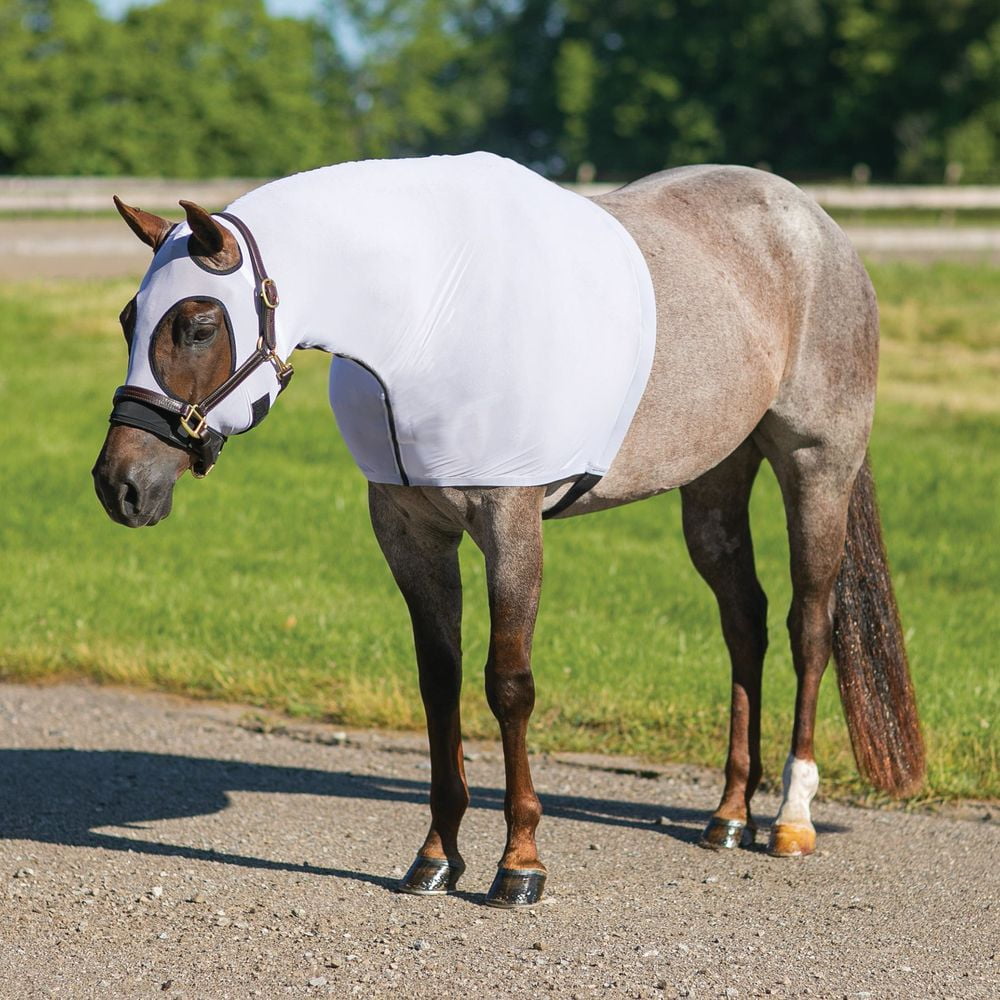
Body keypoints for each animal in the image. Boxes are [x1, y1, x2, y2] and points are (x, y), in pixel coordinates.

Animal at [92, 156, 925, 908]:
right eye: (130, 320)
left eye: (198, 325)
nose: (119, 485)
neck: (427, 314)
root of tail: (817, 227)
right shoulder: (408, 532)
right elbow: (439, 682)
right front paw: (436, 856)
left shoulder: (511, 524)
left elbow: (508, 685)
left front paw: (519, 864)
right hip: (715, 480)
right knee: (744, 621)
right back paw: (727, 814)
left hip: (816, 467)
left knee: (809, 625)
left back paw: (790, 817)